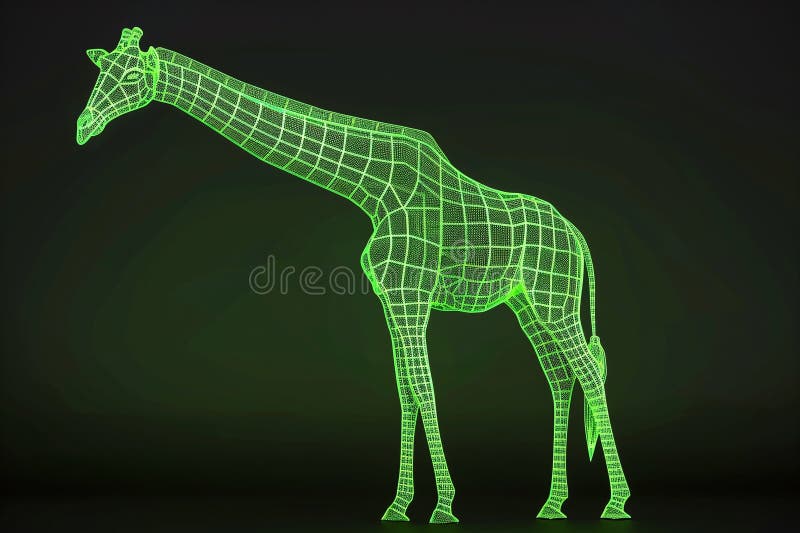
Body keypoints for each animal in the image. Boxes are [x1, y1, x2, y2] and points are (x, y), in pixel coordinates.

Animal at [77, 27, 631, 523]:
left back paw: (615, 503)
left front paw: (444, 506)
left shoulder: (412, 293)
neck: (375, 188)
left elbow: (425, 387)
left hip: (553, 299)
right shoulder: (391, 299)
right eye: (99, 70)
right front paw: (400, 505)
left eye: (130, 75)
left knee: (589, 370)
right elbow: (406, 390)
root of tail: (577, 236)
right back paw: (552, 504)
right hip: (527, 301)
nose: (83, 127)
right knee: (559, 377)